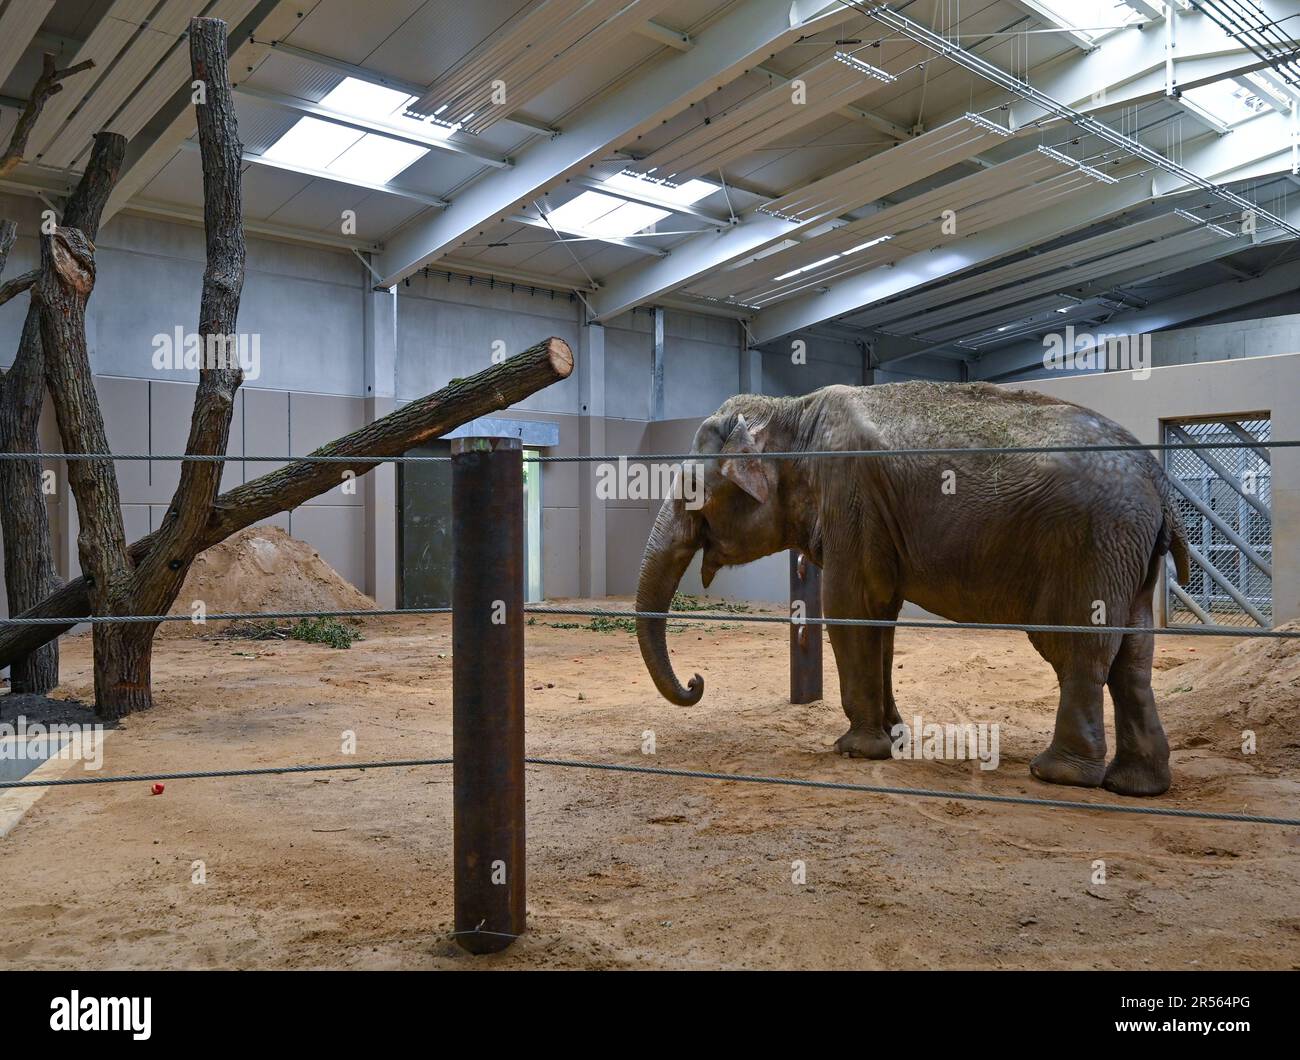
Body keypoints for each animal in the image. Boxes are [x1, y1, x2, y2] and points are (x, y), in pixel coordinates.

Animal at [634, 381, 1191, 797]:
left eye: (690, 488)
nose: (696, 681)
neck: (791, 409)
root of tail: (1159, 481)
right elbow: (881, 615)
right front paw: (895, 737)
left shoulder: (850, 496)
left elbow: (849, 607)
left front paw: (855, 750)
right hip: (1128, 555)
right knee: (1133, 659)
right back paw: (1137, 785)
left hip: (1092, 546)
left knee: (1079, 651)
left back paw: (1057, 773)